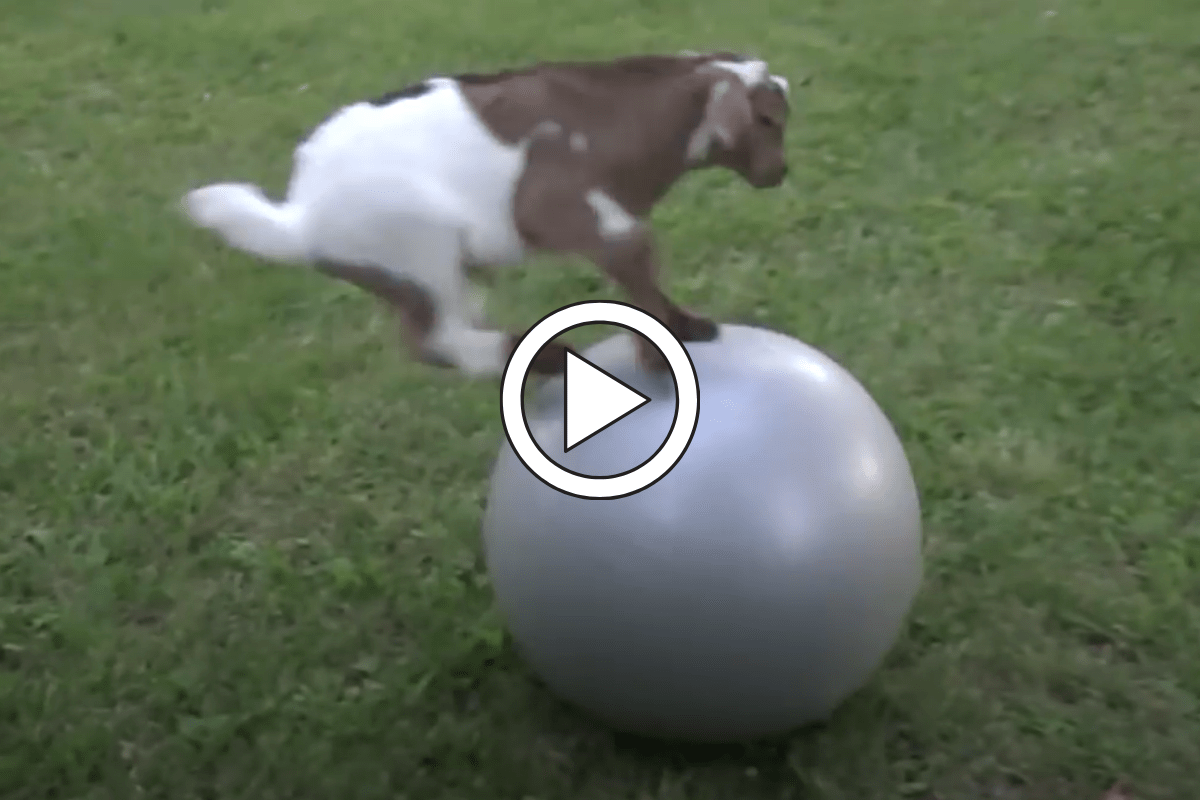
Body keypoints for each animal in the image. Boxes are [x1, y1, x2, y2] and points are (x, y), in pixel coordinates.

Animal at [182, 51, 792, 377]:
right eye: (767, 120)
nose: (781, 173)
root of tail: (300, 218)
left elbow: (641, 270)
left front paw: (684, 328)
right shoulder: (576, 209)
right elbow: (637, 266)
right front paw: (665, 351)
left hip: (420, 270)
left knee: (441, 333)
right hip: (419, 244)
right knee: (435, 339)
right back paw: (546, 355)